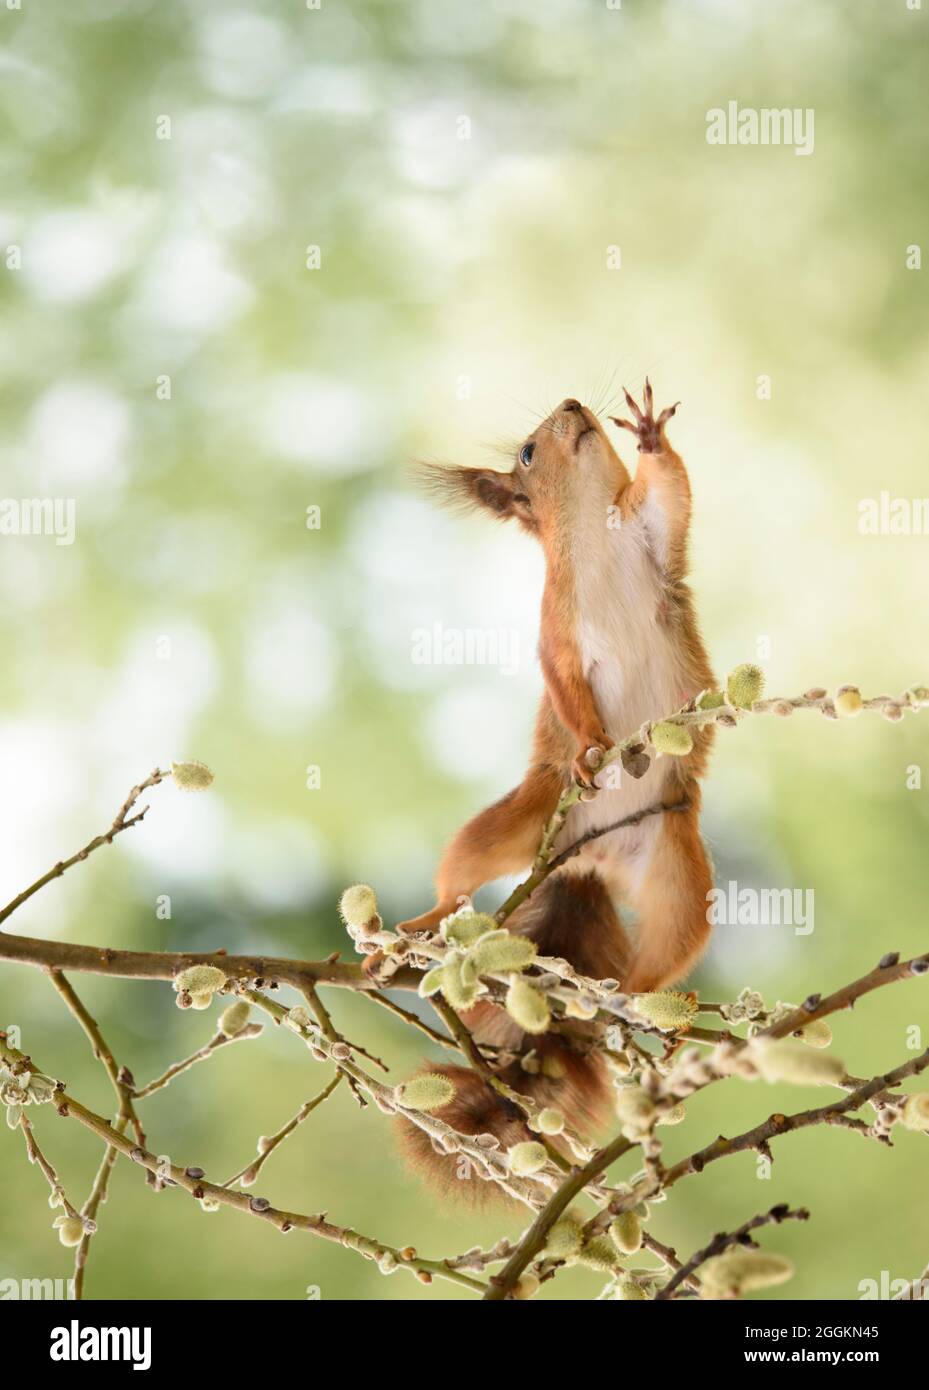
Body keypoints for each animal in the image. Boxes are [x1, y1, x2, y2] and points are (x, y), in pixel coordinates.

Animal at [386, 384, 717, 1197]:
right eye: (528, 453)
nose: (572, 402)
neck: (594, 535)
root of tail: (585, 862)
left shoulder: (656, 532)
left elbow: (672, 487)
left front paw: (649, 434)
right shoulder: (556, 632)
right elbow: (566, 687)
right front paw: (593, 745)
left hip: (674, 864)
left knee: (667, 946)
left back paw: (647, 1002)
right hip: (514, 825)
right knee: (461, 874)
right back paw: (420, 925)